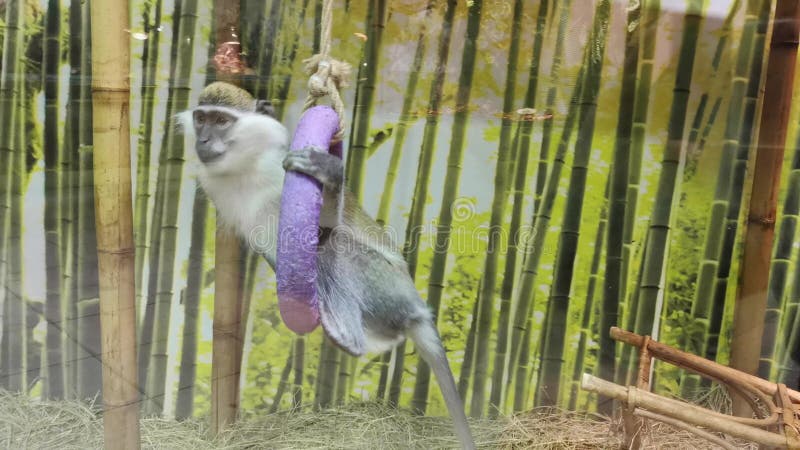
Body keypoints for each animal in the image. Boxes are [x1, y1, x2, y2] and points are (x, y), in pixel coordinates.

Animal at [180, 81, 476, 450]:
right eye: (201, 118)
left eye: (222, 120)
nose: (203, 140)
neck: (246, 167)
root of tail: (417, 308)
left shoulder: (281, 167)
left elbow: (326, 226)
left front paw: (331, 175)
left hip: (385, 283)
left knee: (333, 243)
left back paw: (348, 337)